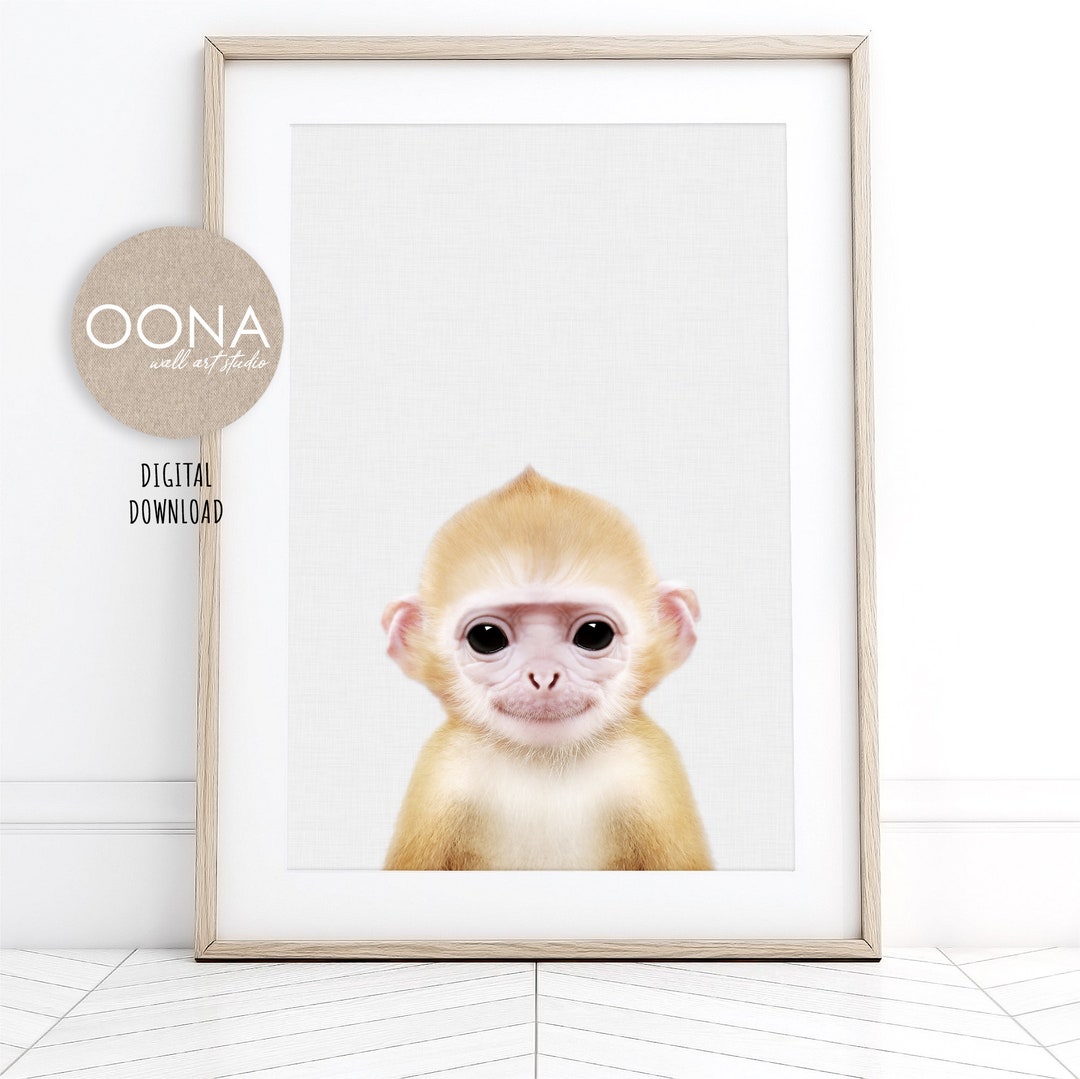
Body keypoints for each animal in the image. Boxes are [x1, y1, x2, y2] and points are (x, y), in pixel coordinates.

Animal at [381, 468, 712, 871]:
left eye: (594, 634)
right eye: (486, 637)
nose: (542, 676)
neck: (545, 764)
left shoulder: (651, 774)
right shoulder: (442, 777)